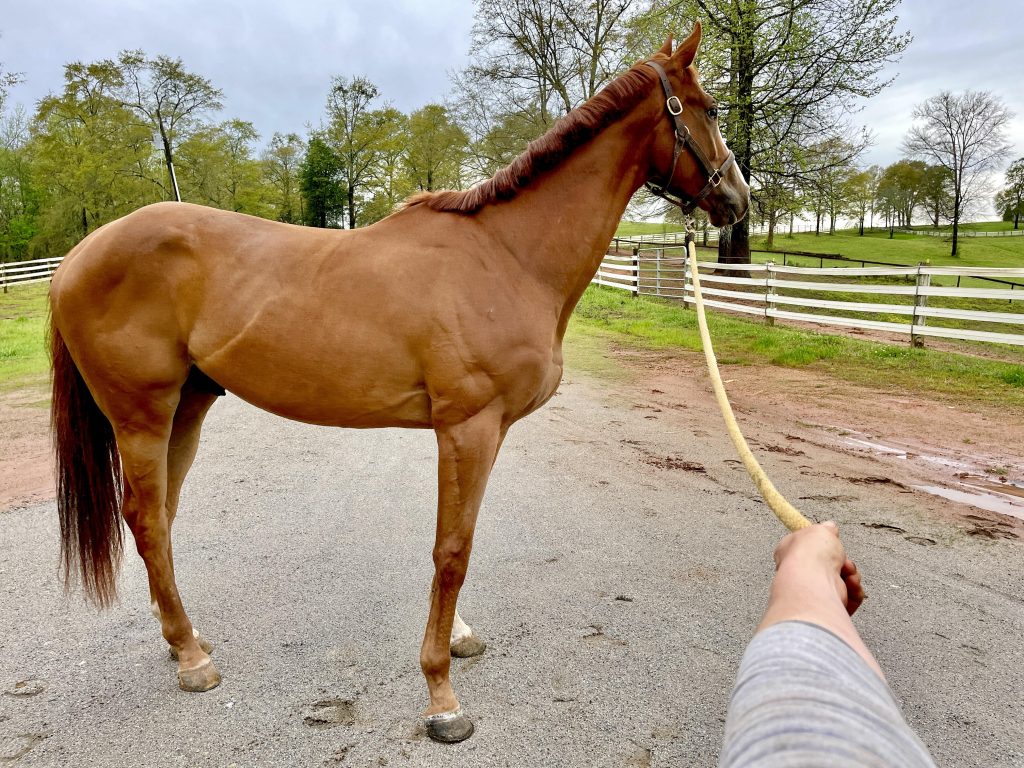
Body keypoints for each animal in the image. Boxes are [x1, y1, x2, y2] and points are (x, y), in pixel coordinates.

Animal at [48, 23, 748, 743]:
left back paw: (181, 639)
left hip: (186, 409)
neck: (507, 256)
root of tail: (75, 258)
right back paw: (191, 658)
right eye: (710, 109)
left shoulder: (476, 433)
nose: (737, 199)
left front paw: (458, 640)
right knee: (145, 519)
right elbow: (453, 550)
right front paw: (442, 695)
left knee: (158, 517)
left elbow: (457, 541)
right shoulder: (468, 428)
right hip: (142, 415)